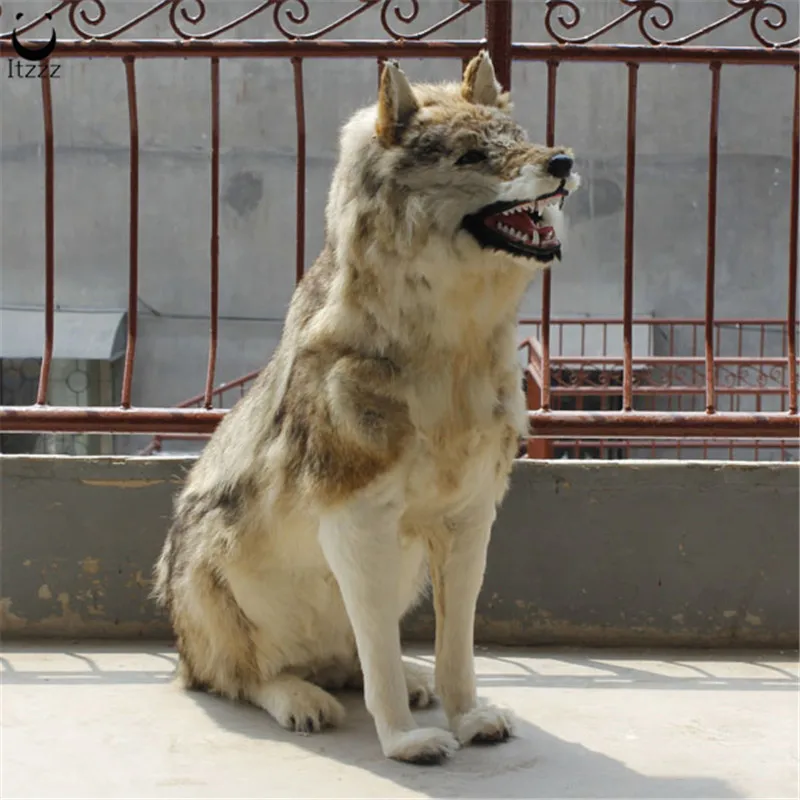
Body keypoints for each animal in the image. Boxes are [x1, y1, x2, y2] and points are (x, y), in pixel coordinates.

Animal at [152, 51, 579, 765]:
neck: (448, 348)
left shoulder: (468, 521)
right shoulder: (358, 523)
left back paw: (403, 680)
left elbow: (454, 650)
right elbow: (378, 649)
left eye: (518, 137)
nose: (564, 162)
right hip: (216, 568)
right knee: (242, 675)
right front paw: (405, 743)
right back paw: (299, 698)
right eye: (470, 155)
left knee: (349, 656)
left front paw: (467, 717)